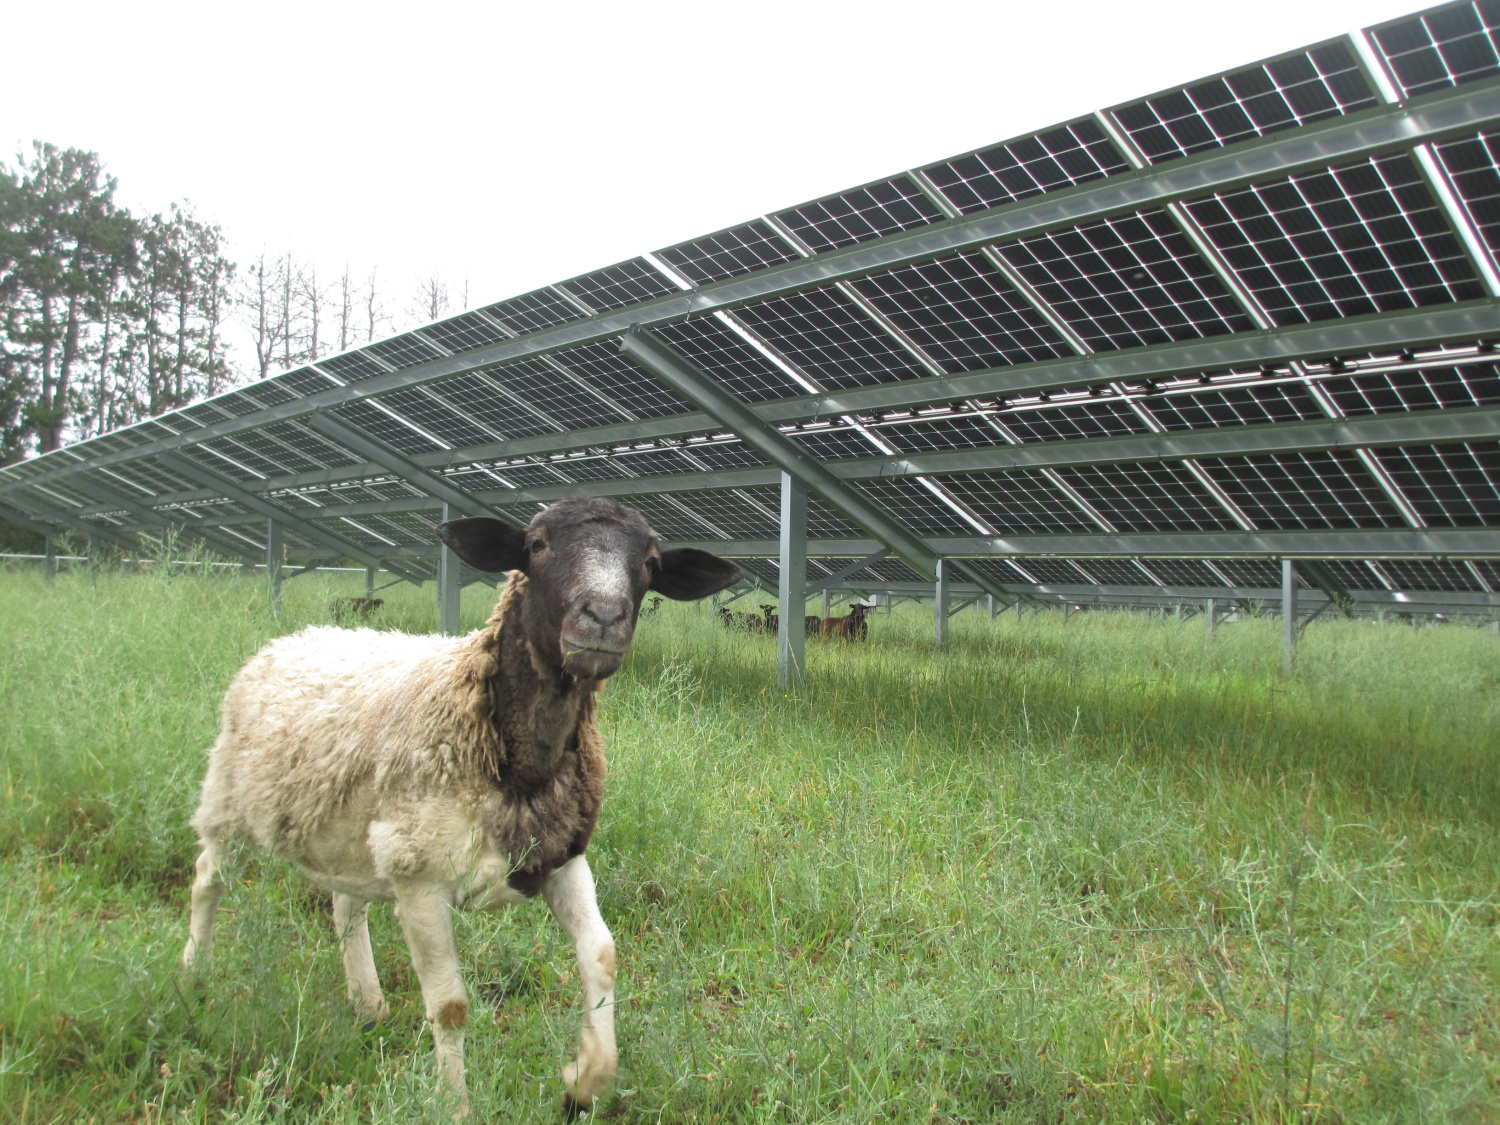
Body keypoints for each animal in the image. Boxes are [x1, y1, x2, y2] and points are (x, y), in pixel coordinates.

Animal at [180, 498, 740, 1116]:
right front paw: (455, 1105)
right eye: (537, 544)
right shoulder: (420, 878)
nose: (603, 617)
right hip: (228, 797)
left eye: (650, 561)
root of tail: (293, 636)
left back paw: (367, 1005)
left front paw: (585, 1080)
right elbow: (450, 1006)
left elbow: (602, 955)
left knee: (346, 905)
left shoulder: (561, 856)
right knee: (208, 878)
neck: (514, 762)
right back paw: (194, 976)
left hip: (356, 831)